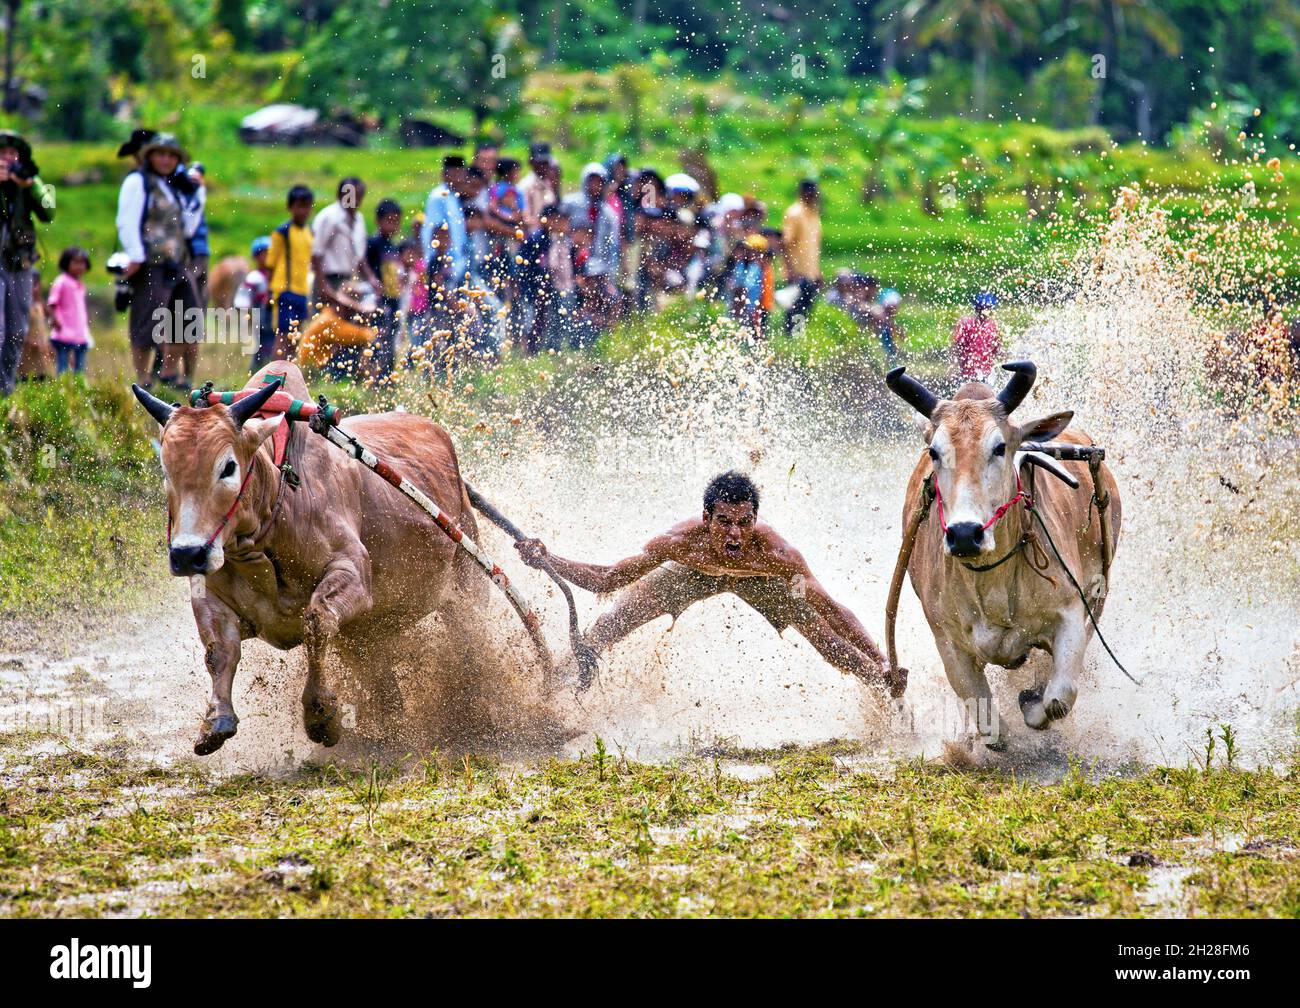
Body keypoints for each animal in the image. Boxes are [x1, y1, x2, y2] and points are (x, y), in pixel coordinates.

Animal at [132, 362, 496, 755]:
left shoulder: (352, 573)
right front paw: (216, 721)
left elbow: (317, 621)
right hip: (367, 636)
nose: (188, 555)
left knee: (473, 646)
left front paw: (320, 714)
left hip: (469, 588)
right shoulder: (210, 596)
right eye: (167, 470)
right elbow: (219, 651)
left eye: (227, 467)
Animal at [885, 361, 1122, 747]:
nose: (965, 534)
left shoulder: (1071, 612)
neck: (990, 581)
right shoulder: (947, 641)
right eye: (934, 452)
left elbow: (1059, 698)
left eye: (999, 447)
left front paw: (1031, 703)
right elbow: (989, 725)